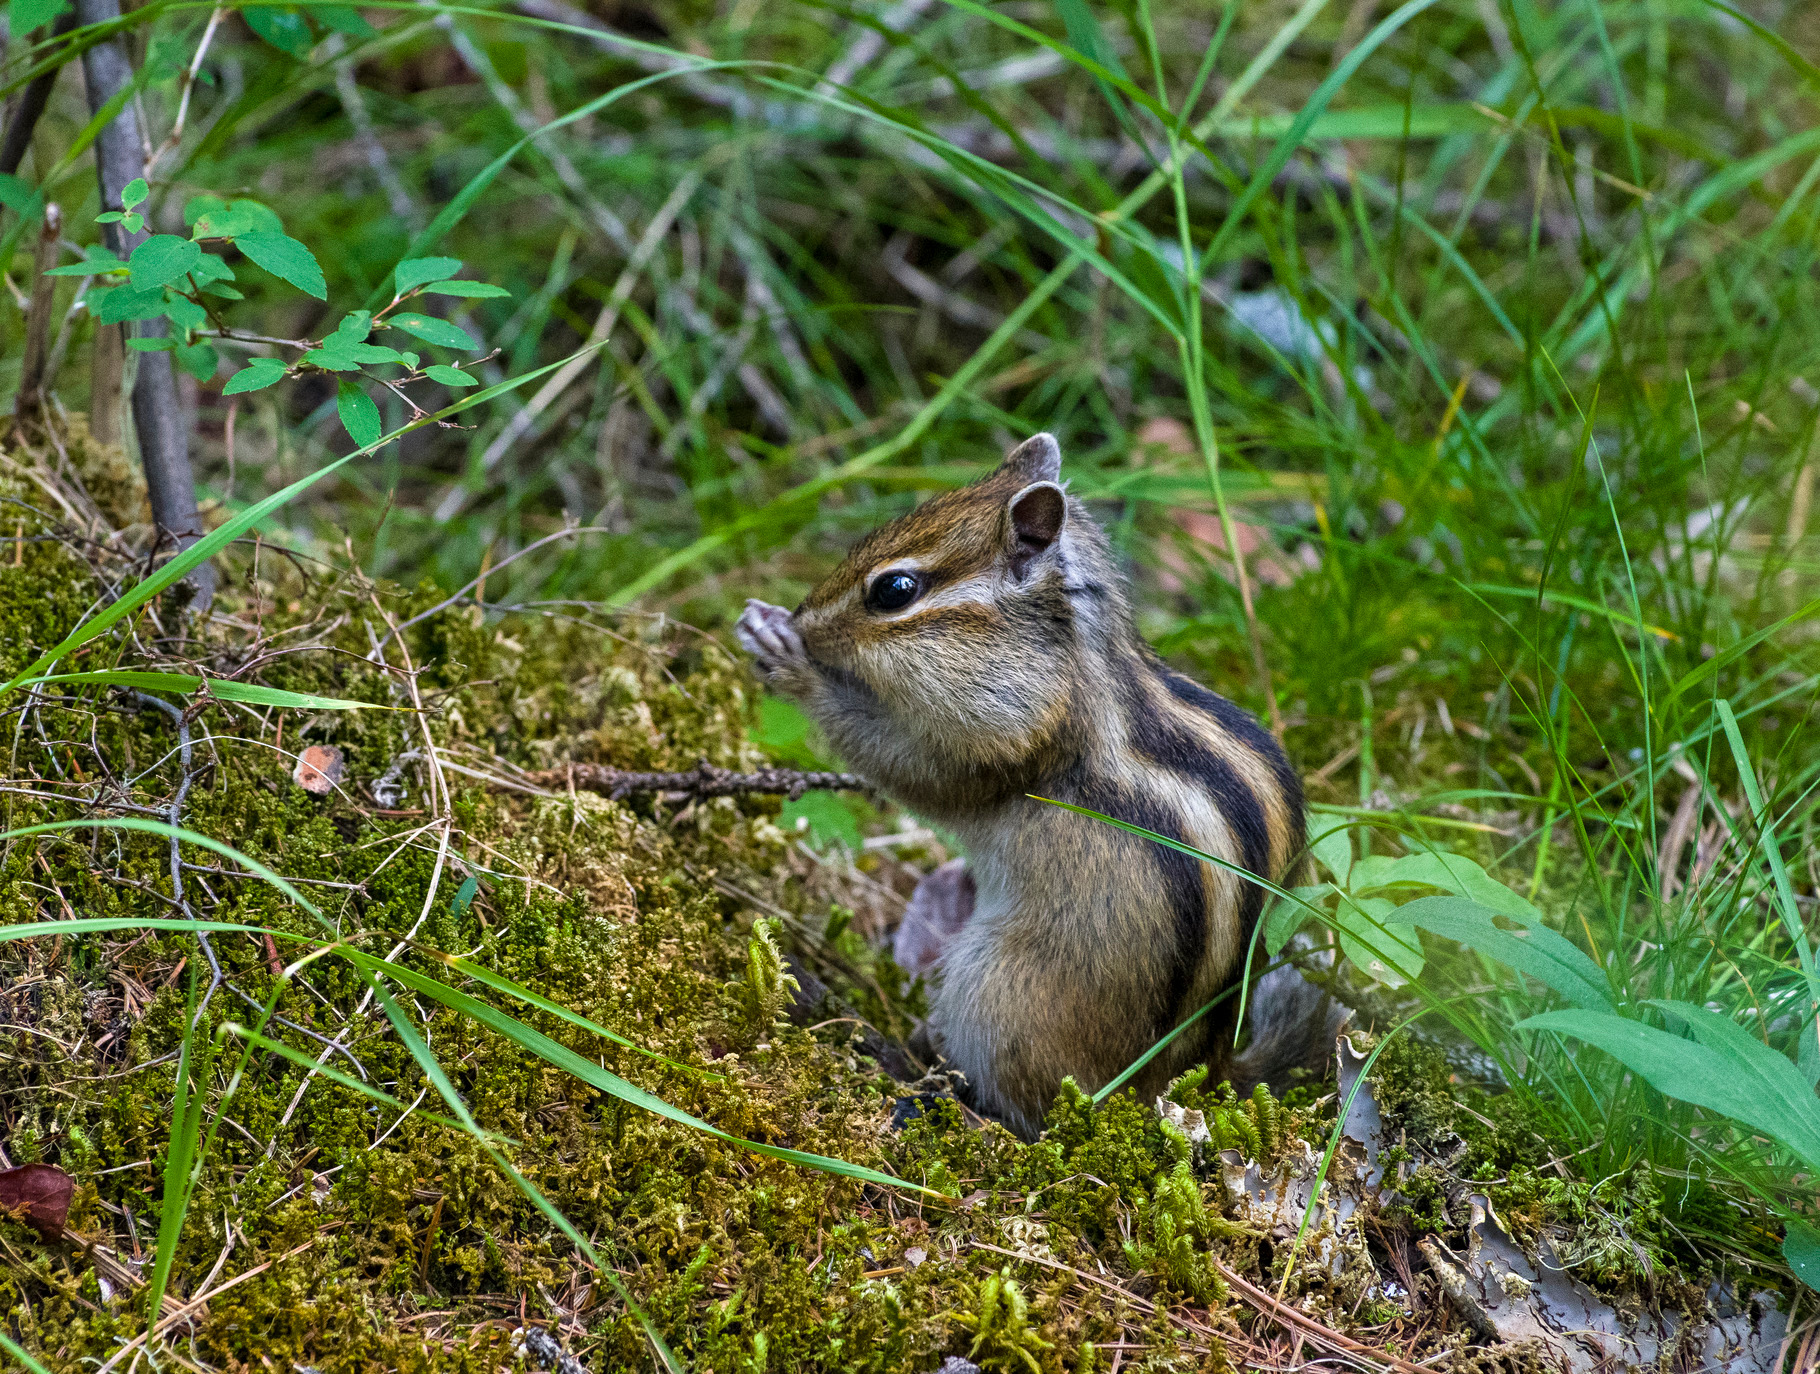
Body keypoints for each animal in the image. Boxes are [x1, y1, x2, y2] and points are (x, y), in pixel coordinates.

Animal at [736, 433, 1337, 1139]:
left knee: (1036, 1114)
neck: (1067, 659)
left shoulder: (1004, 736)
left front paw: (787, 657)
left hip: (992, 990)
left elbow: (911, 769)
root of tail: (1187, 1080)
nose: (805, 620)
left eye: (895, 590)